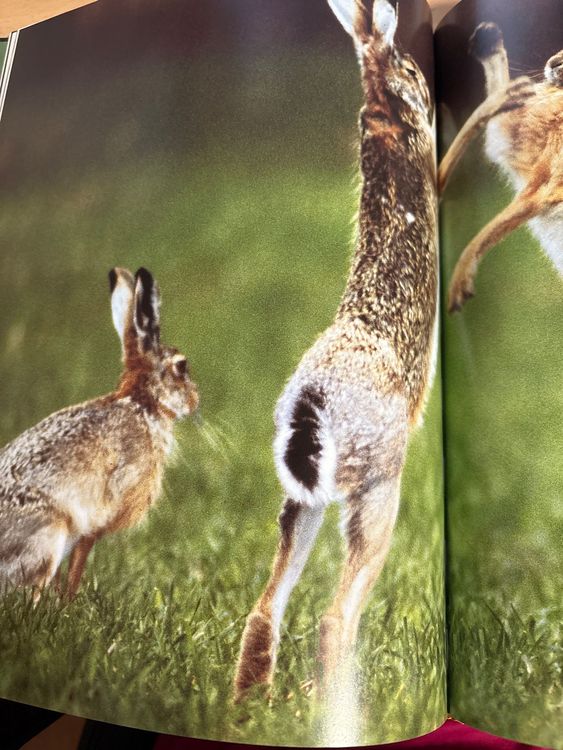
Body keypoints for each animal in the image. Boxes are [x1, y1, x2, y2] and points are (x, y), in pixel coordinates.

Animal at [0, 267, 199, 599]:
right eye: (181, 367)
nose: (196, 400)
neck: (141, 404)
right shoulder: (104, 507)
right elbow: (82, 556)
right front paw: (69, 601)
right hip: (47, 535)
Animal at [234, 0, 438, 699]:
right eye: (413, 70)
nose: (433, 102)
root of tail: (311, 407)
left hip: (303, 501)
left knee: (264, 609)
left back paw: (253, 703)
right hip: (378, 489)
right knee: (335, 615)